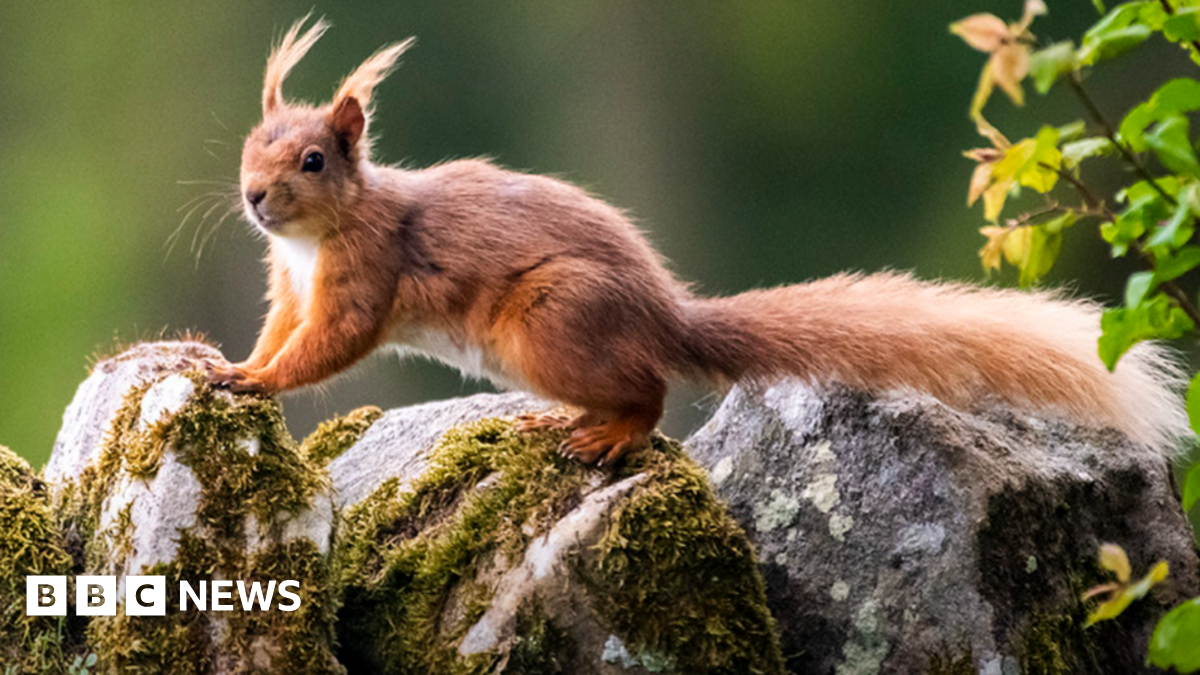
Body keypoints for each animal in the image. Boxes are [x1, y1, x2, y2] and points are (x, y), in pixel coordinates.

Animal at [207, 17, 1186, 465]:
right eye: (249, 146)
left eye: (314, 159)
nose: (254, 197)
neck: (313, 239)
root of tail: (666, 318)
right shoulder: (289, 282)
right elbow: (280, 330)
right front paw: (231, 359)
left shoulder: (366, 272)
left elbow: (330, 344)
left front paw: (252, 381)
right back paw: (566, 420)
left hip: (551, 321)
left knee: (648, 393)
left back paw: (607, 433)